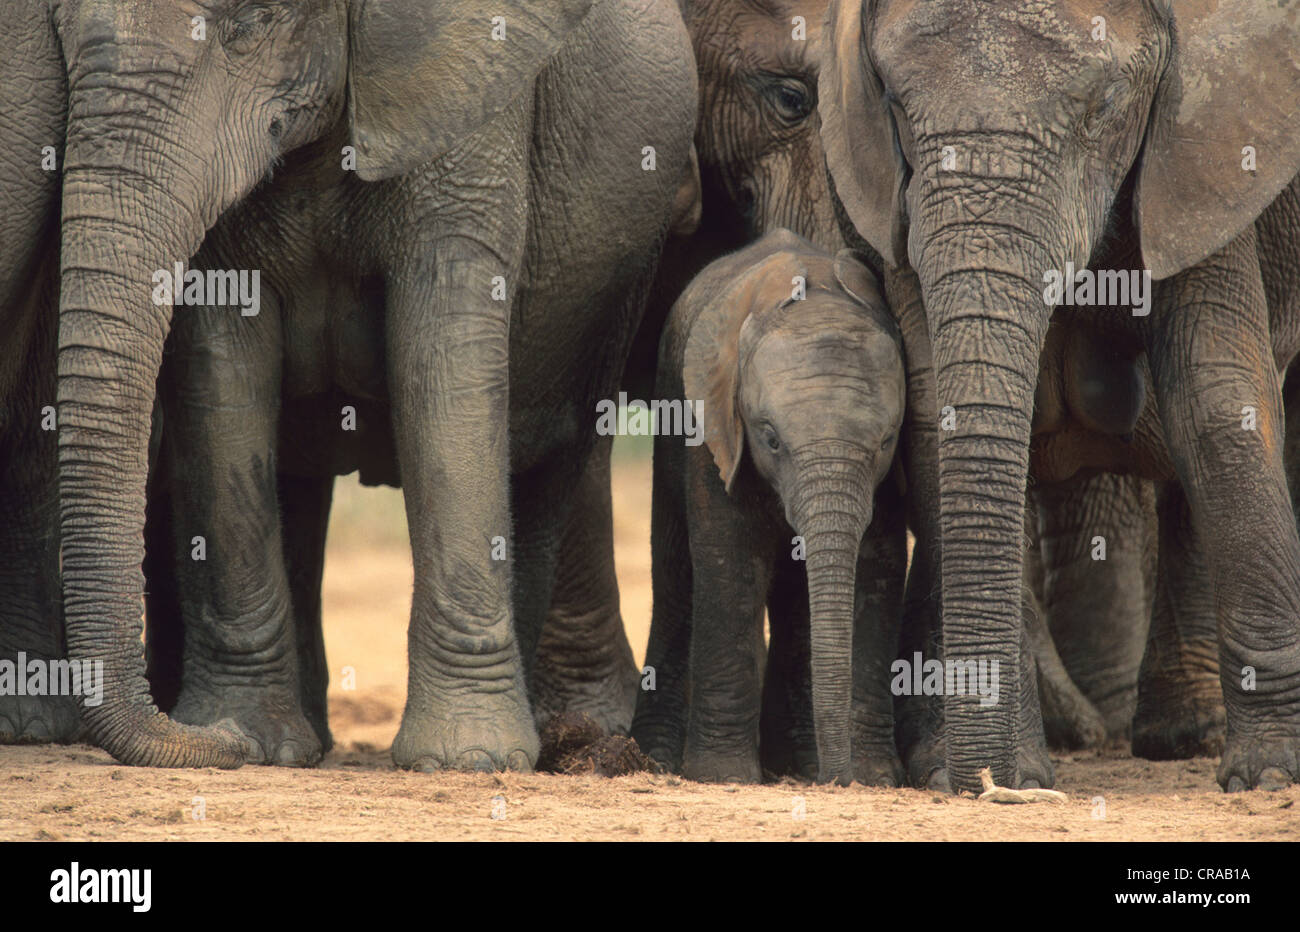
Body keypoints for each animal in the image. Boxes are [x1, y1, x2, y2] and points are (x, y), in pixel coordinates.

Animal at [36, 0, 696, 770]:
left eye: (250, 20)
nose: (215, 740)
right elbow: (222, 378)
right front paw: (252, 740)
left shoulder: (472, 112)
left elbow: (443, 350)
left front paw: (467, 761)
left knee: (548, 464)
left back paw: (537, 743)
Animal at [635, 228, 906, 785]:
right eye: (770, 438)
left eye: (887, 440)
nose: (836, 780)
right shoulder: (714, 428)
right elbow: (730, 565)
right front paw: (722, 777)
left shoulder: (885, 480)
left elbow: (878, 568)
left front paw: (871, 777)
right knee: (675, 578)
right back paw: (657, 758)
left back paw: (799, 762)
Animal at [819, 0, 1300, 792]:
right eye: (894, 104)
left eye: (1103, 108)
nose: (987, 785)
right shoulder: (892, 196)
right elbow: (935, 415)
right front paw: (1009, 776)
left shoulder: (1208, 159)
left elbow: (1216, 399)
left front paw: (1267, 777)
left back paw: (1185, 739)